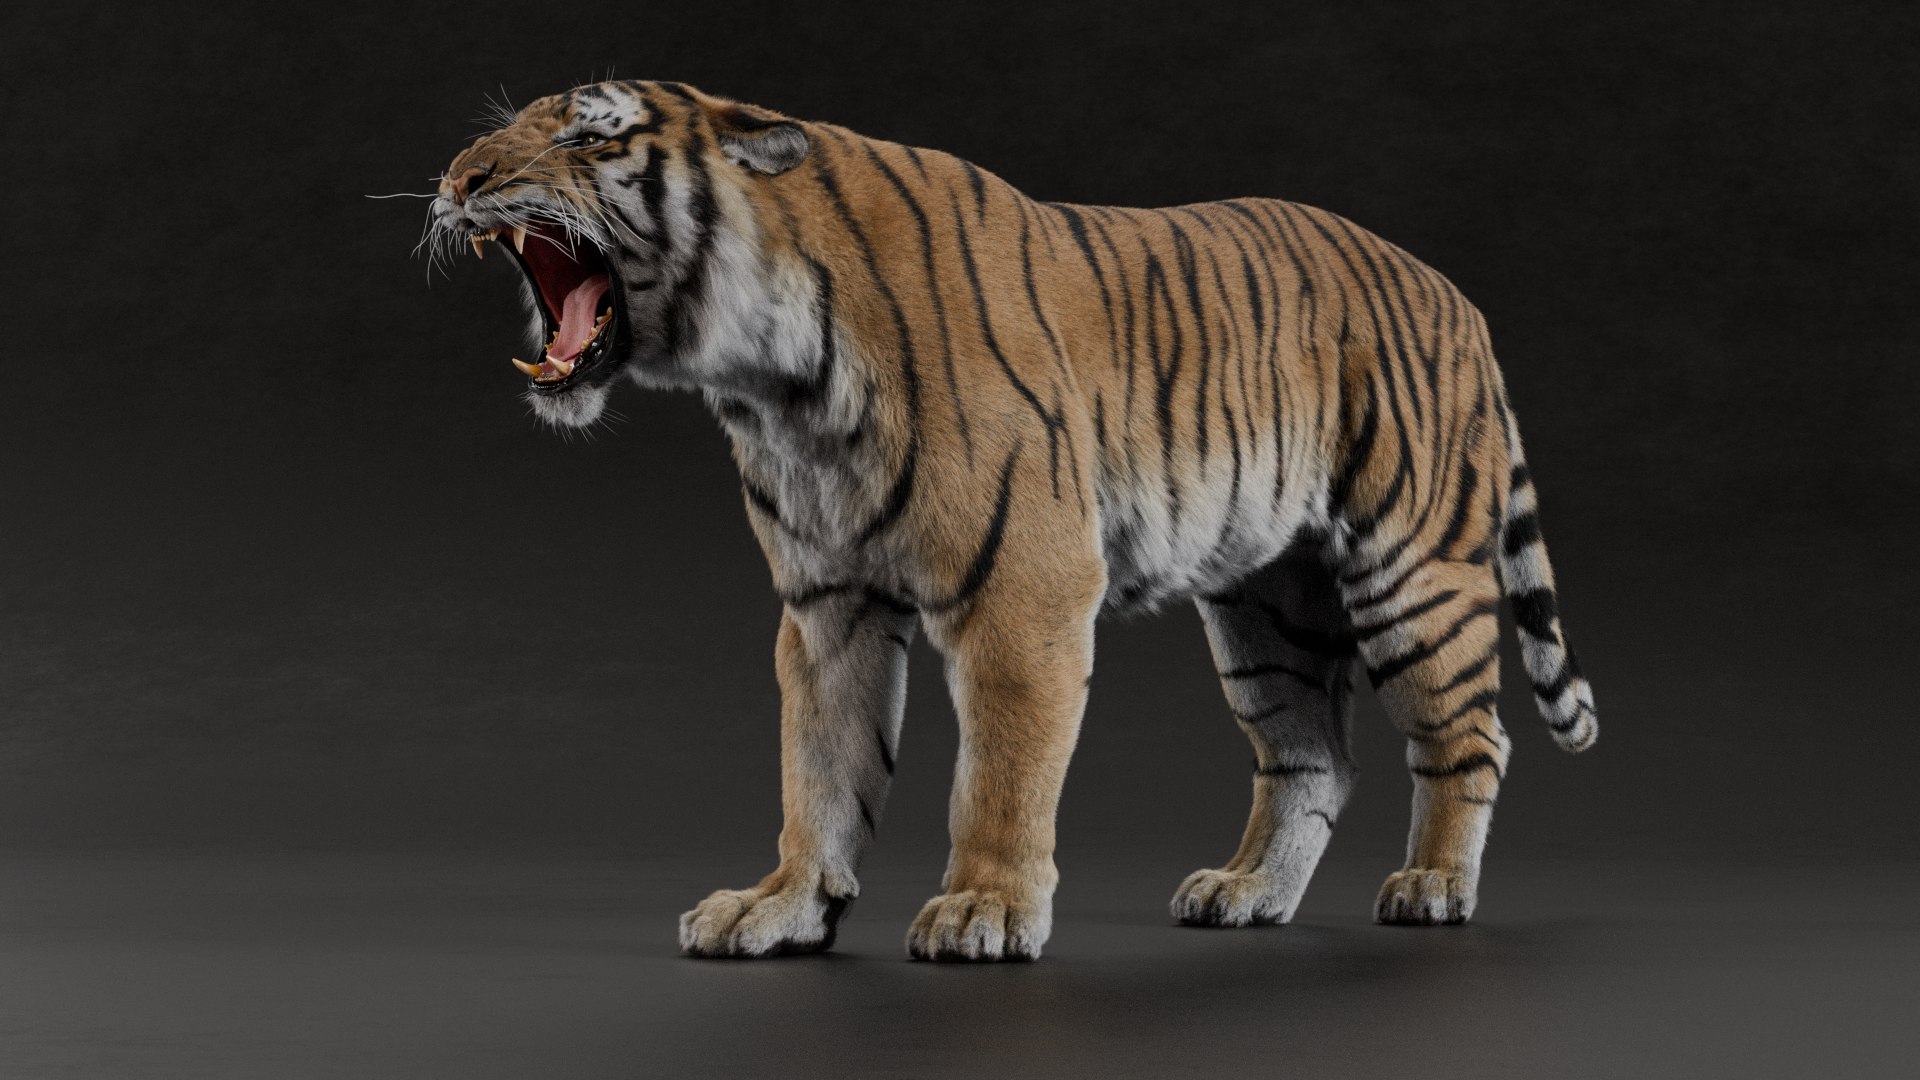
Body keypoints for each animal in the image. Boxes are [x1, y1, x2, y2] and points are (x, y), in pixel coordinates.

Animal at [423, 79, 1598, 962]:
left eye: (590, 132)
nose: (458, 179)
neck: (773, 385)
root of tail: (1455, 295)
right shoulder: (826, 602)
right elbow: (820, 769)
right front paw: (785, 906)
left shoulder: (1023, 588)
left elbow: (1000, 772)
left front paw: (982, 909)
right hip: (1268, 606)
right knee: (1313, 754)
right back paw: (1246, 892)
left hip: (1412, 573)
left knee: (1471, 733)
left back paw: (1433, 885)